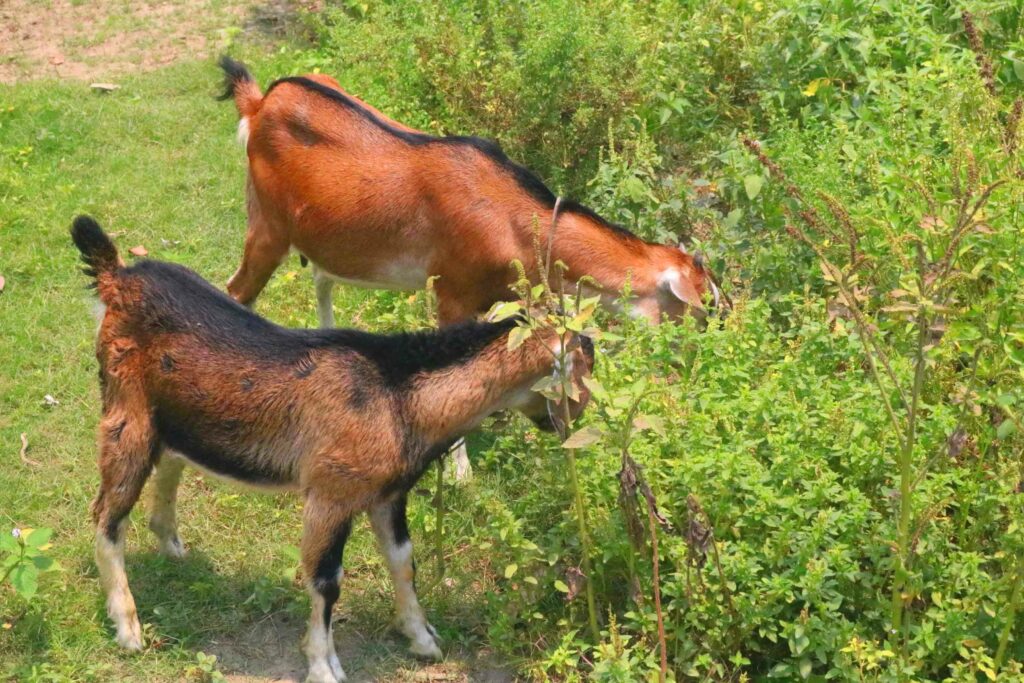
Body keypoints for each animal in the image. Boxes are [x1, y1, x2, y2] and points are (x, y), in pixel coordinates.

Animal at [71, 216, 593, 683]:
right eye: (582, 368)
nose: (576, 419)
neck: (396, 394)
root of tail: (116, 275)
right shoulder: (330, 492)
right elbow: (325, 579)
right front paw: (324, 666)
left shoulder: (388, 494)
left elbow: (404, 561)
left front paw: (422, 639)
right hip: (125, 409)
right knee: (107, 513)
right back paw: (128, 627)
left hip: (173, 413)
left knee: (169, 463)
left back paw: (172, 545)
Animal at [217, 57, 727, 329]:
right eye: (704, 304)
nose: (723, 330)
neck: (512, 218)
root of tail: (261, 102)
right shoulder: (452, 292)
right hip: (266, 225)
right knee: (236, 291)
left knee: (322, 279)